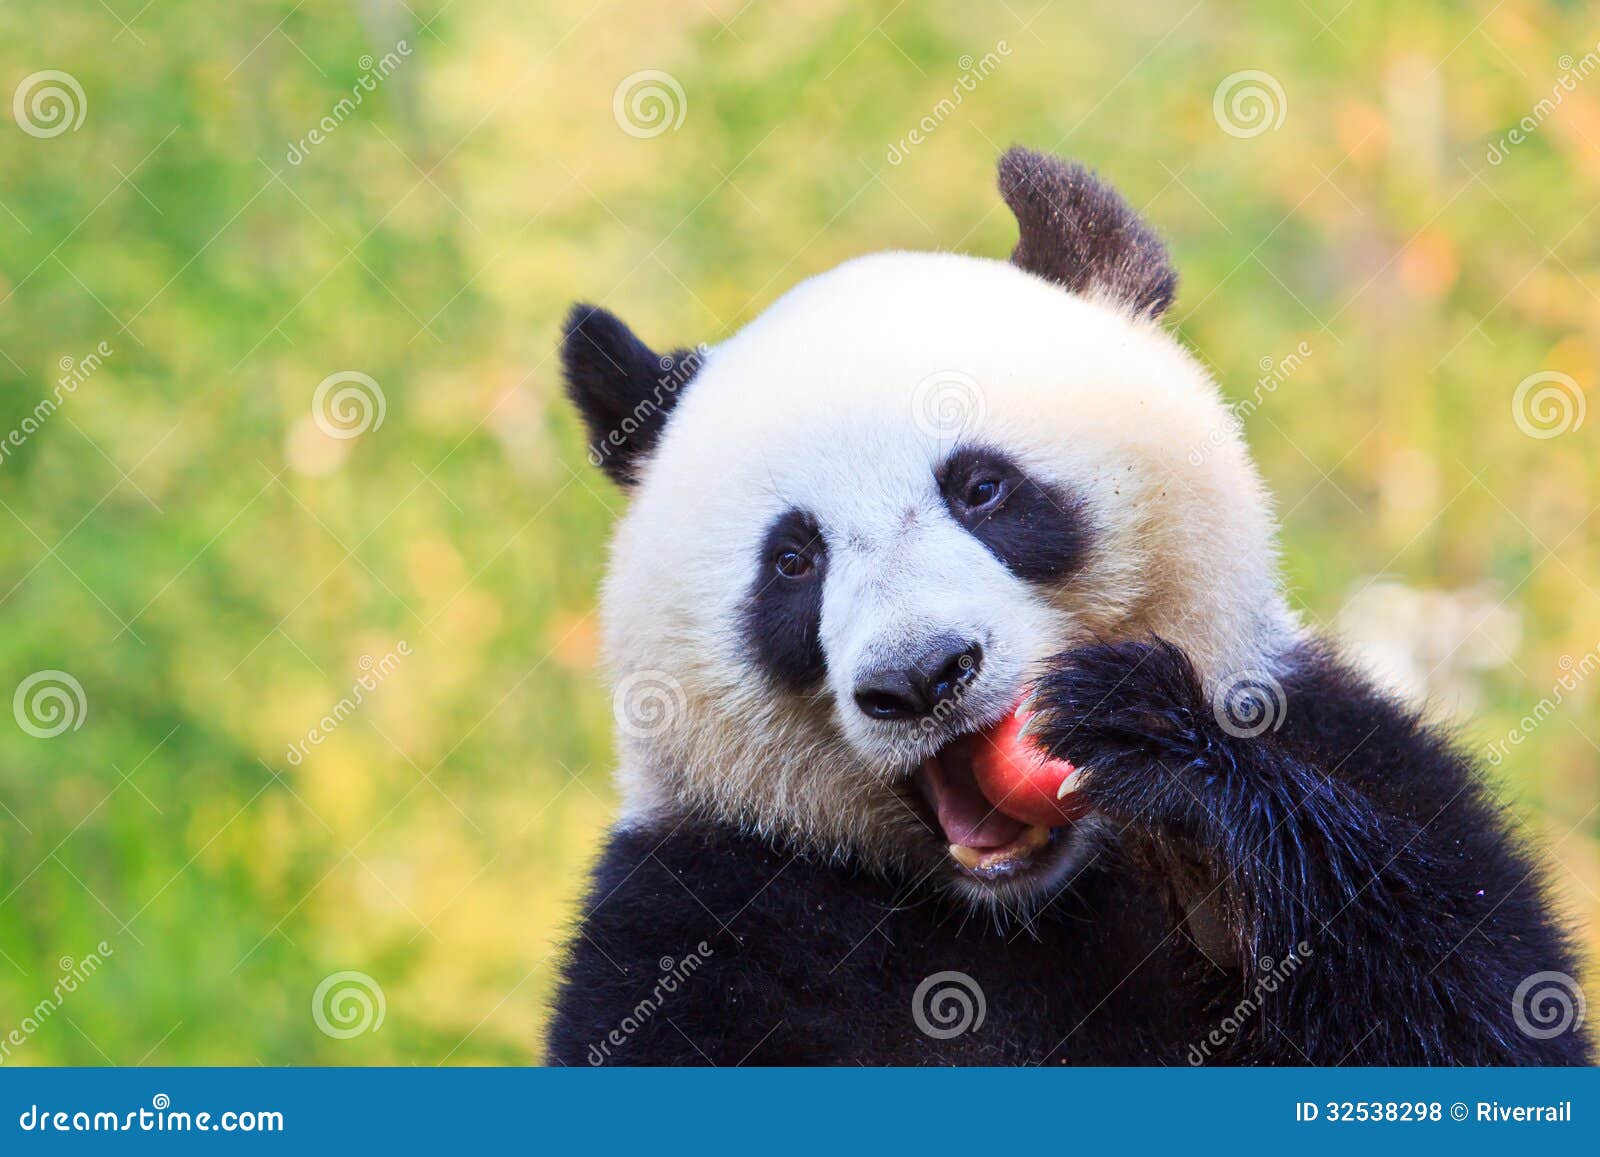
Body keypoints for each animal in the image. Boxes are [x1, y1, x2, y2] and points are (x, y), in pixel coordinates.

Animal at [544, 147, 1591, 1066]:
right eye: (794, 561)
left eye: (983, 489)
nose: (922, 676)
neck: (1033, 899)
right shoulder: (701, 910)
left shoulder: (1365, 757)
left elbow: (1472, 1007)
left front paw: (1171, 778)